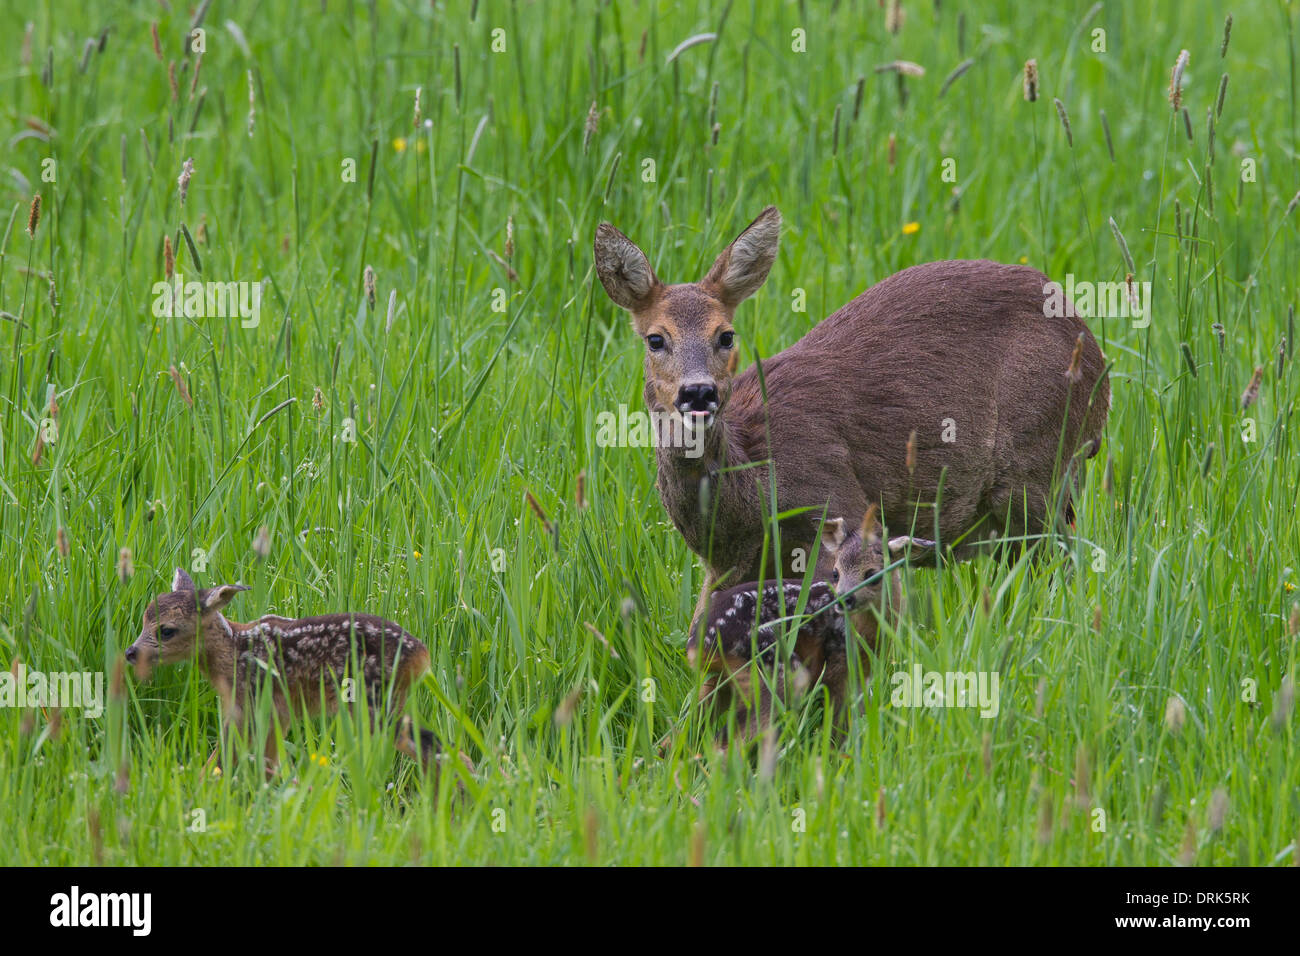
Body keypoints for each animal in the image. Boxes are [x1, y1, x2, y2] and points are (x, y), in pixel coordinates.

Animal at [126, 568, 466, 784]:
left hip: (374, 703)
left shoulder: (256, 704)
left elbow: (228, 759)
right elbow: (265, 764)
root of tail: (422, 655)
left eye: (167, 630)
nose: (130, 652)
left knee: (439, 749)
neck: (233, 654)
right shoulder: (266, 712)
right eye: (143, 619)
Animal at [593, 206, 1109, 634]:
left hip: (1037, 468)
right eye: (655, 339)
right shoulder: (725, 570)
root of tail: (1095, 354)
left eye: (726, 335)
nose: (698, 392)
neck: (753, 494)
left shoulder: (837, 505)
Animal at [687, 506, 903, 743]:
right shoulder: (836, 665)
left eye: (873, 574)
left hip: (722, 680)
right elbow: (837, 728)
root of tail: (697, 641)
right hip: (774, 667)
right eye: (835, 572)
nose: (844, 600)